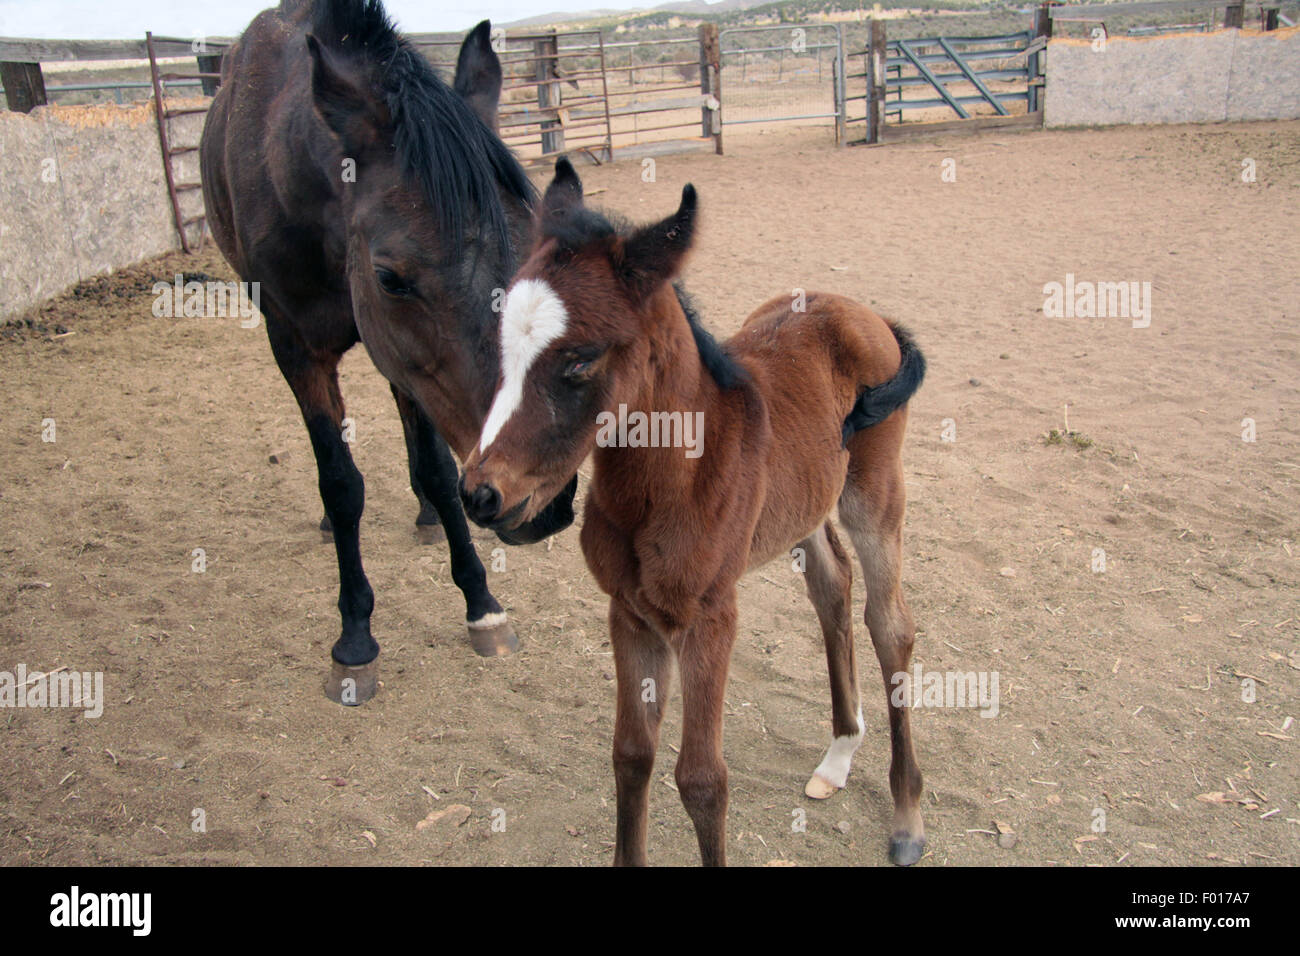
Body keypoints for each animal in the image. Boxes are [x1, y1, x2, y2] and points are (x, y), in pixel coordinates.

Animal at [200, 0, 576, 705]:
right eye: (391, 277)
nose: (542, 497)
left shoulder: (407, 365)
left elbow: (439, 471)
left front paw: (481, 602)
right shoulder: (295, 347)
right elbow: (342, 480)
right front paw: (354, 639)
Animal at [458, 158, 928, 865]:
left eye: (580, 359)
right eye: (500, 346)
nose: (480, 494)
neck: (661, 489)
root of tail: (863, 311)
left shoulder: (710, 618)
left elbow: (702, 780)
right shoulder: (630, 614)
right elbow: (631, 756)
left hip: (873, 493)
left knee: (889, 622)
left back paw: (906, 819)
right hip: (801, 505)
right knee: (832, 586)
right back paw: (839, 755)